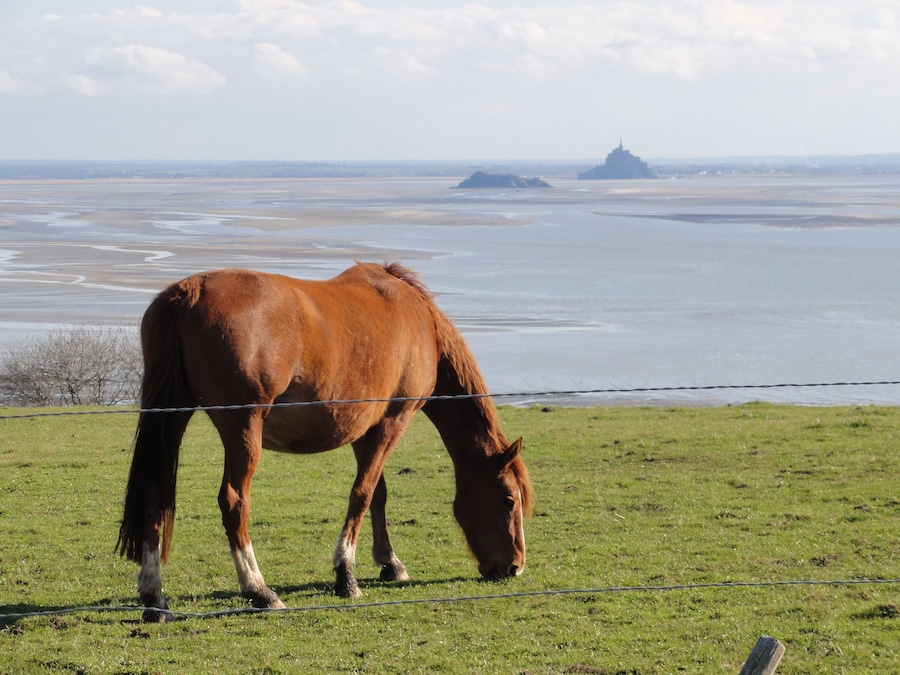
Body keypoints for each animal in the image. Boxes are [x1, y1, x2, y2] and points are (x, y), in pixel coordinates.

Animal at [117, 261, 532, 621]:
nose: (514, 566)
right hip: (243, 428)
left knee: (153, 496)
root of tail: (192, 290)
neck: (419, 320)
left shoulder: (364, 430)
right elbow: (361, 495)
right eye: (508, 500)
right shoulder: (392, 422)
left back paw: (155, 598)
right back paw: (259, 590)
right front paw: (346, 575)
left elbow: (377, 494)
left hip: (172, 417)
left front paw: (389, 562)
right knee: (233, 501)